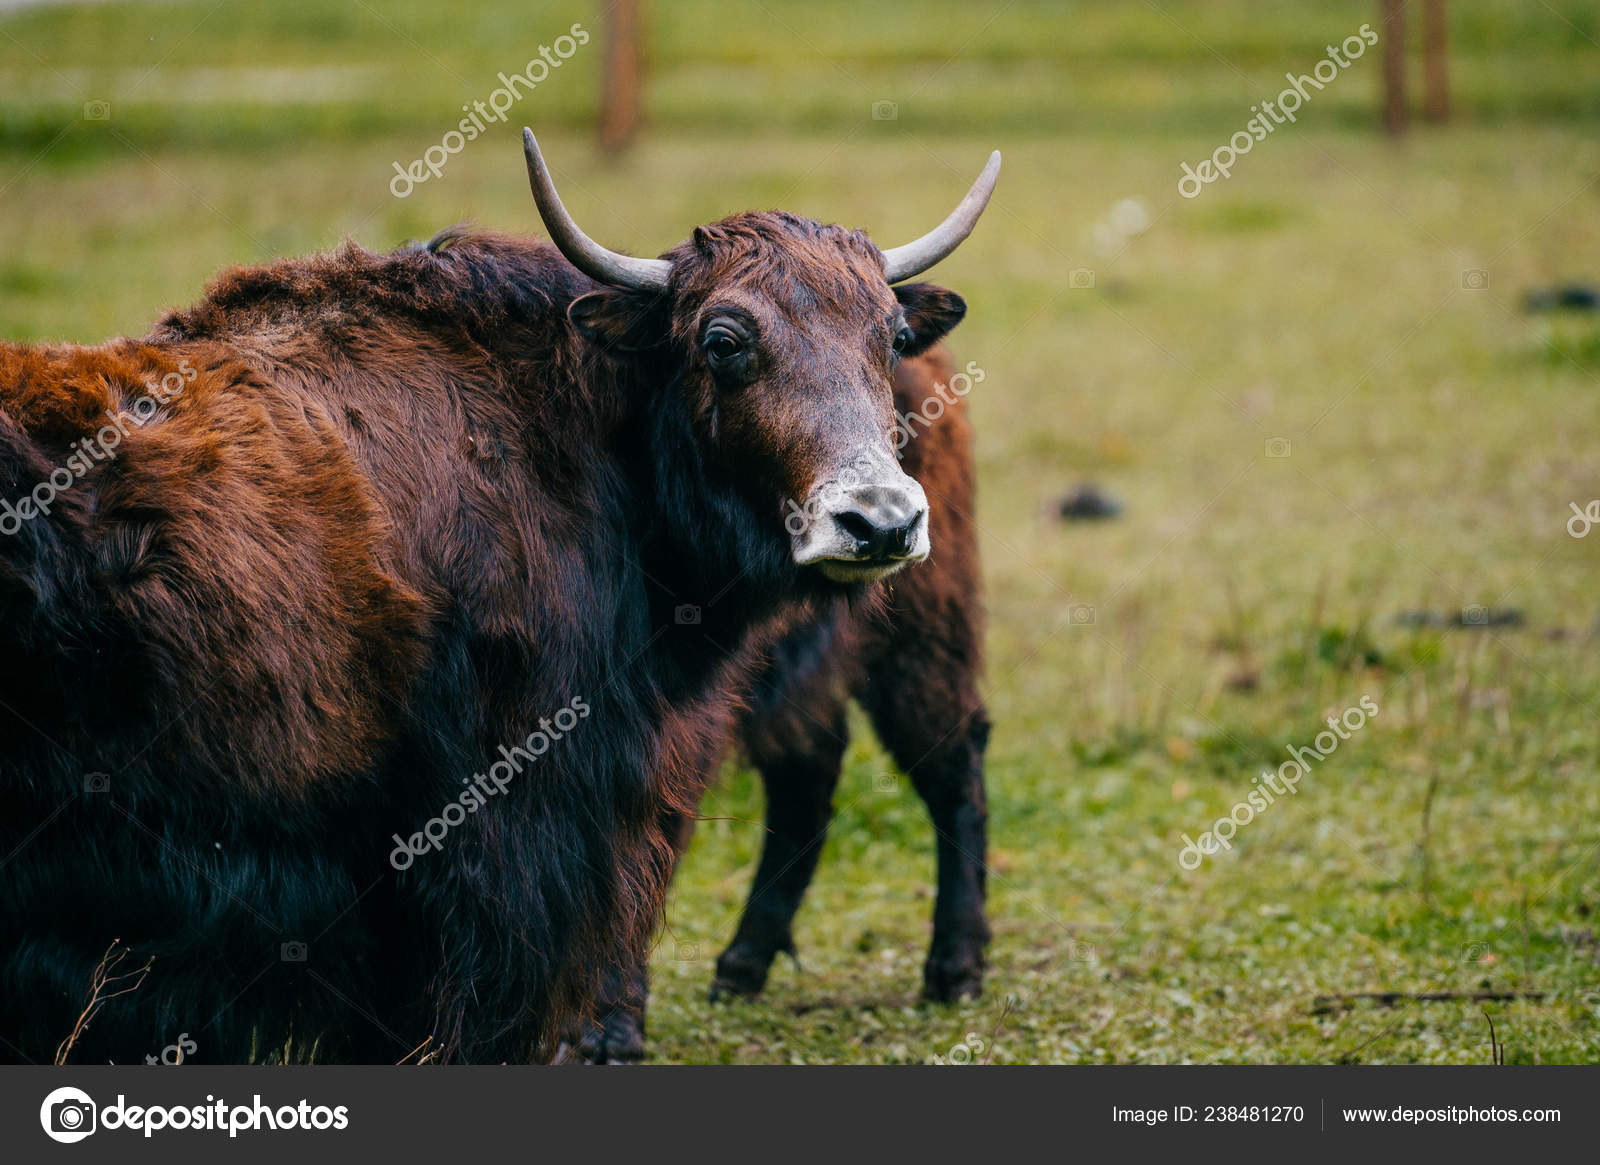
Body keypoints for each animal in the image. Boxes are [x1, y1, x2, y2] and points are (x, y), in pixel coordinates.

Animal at [572, 343, 989, 1063]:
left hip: (920, 642)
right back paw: (742, 965)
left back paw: (954, 970)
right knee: (809, 781)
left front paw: (609, 1034)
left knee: (954, 765)